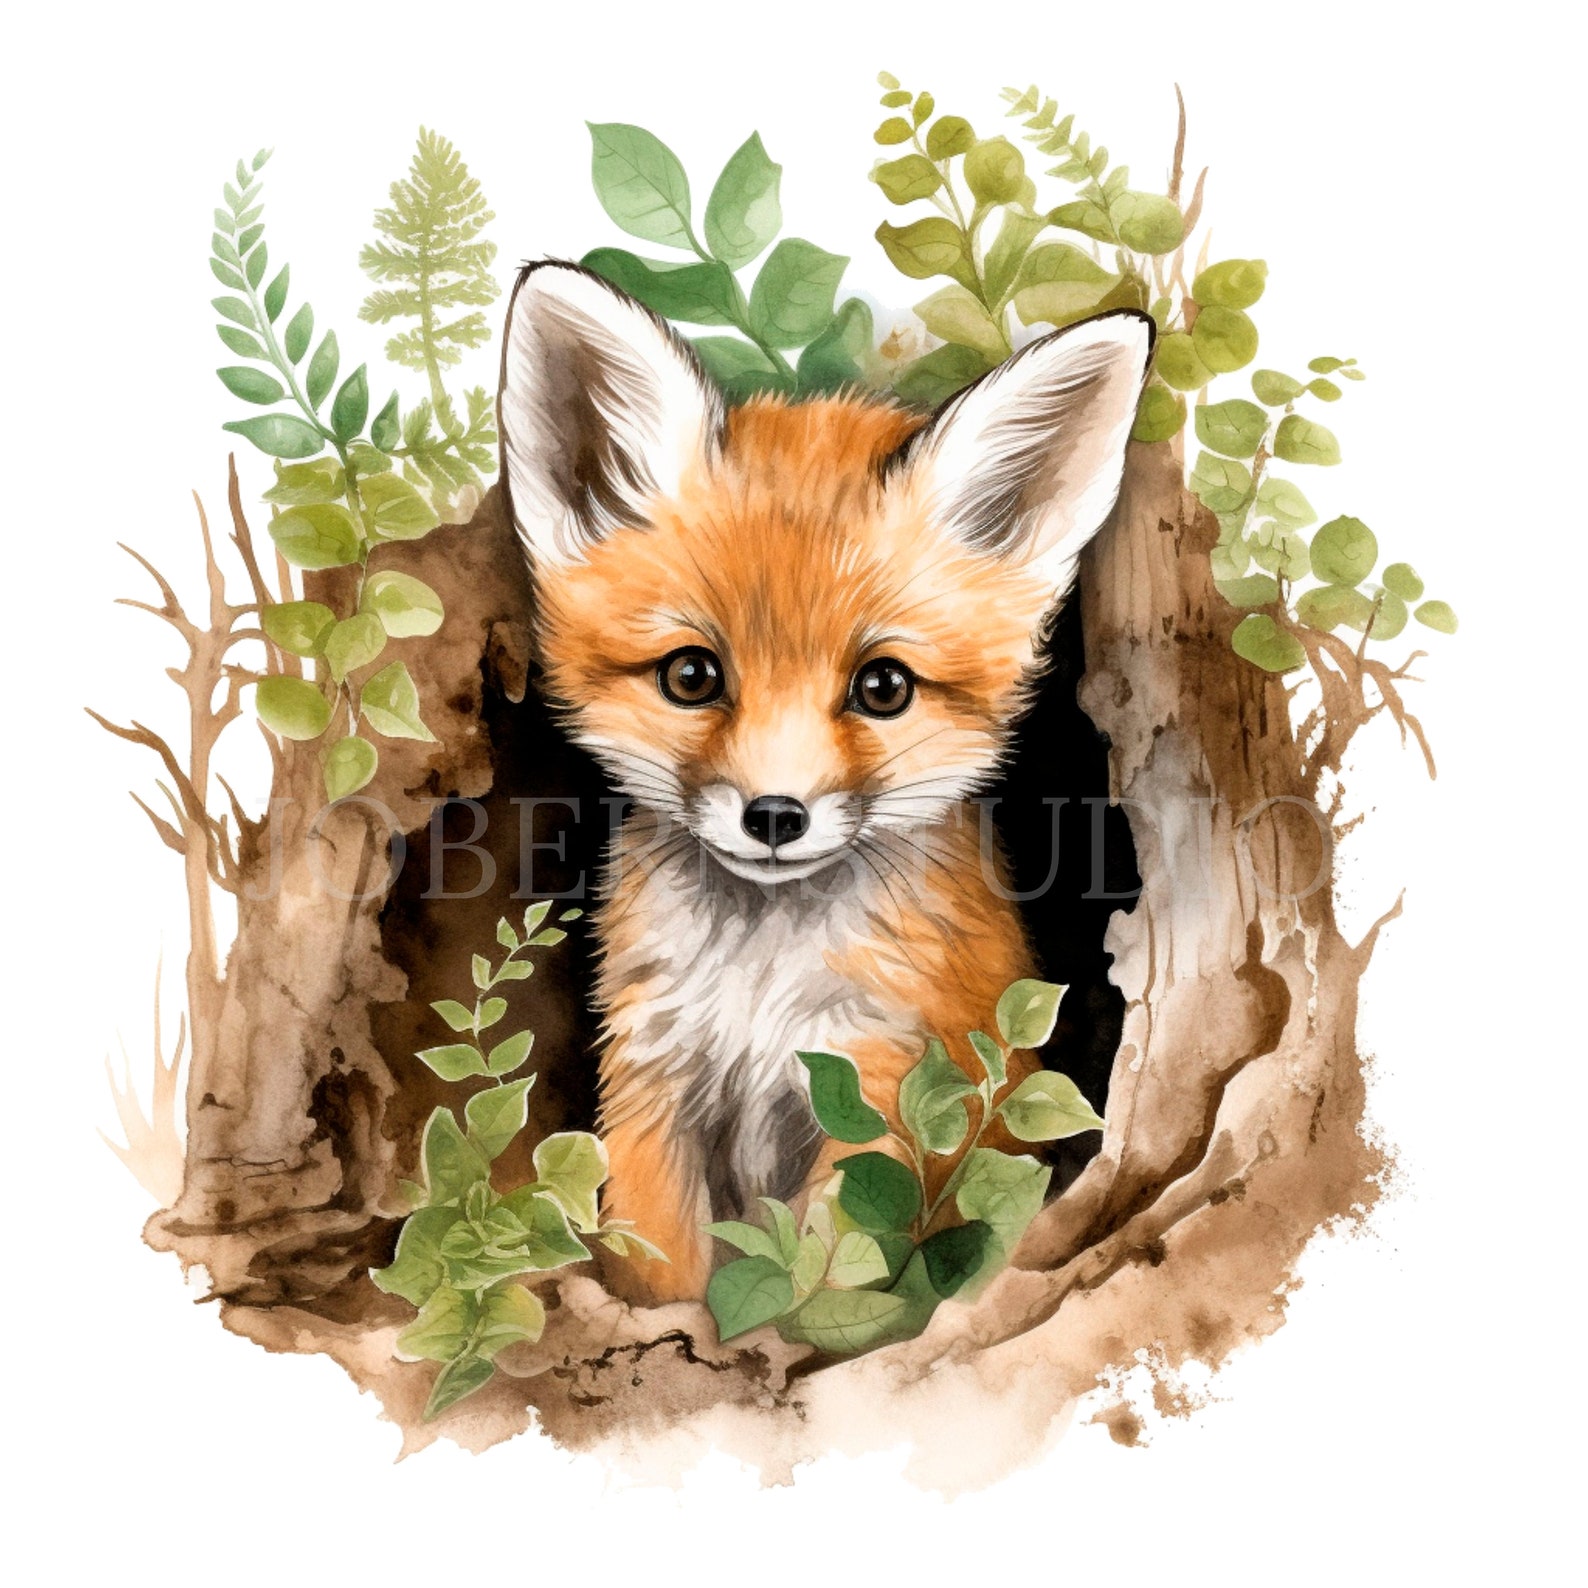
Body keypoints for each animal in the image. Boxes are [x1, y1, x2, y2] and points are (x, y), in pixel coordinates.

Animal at [498, 261, 1151, 1302]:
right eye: (692, 676)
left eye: (883, 687)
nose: (775, 815)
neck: (761, 988)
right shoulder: (652, 1079)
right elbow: (662, 1275)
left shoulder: (885, 1086)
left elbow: (828, 1281)